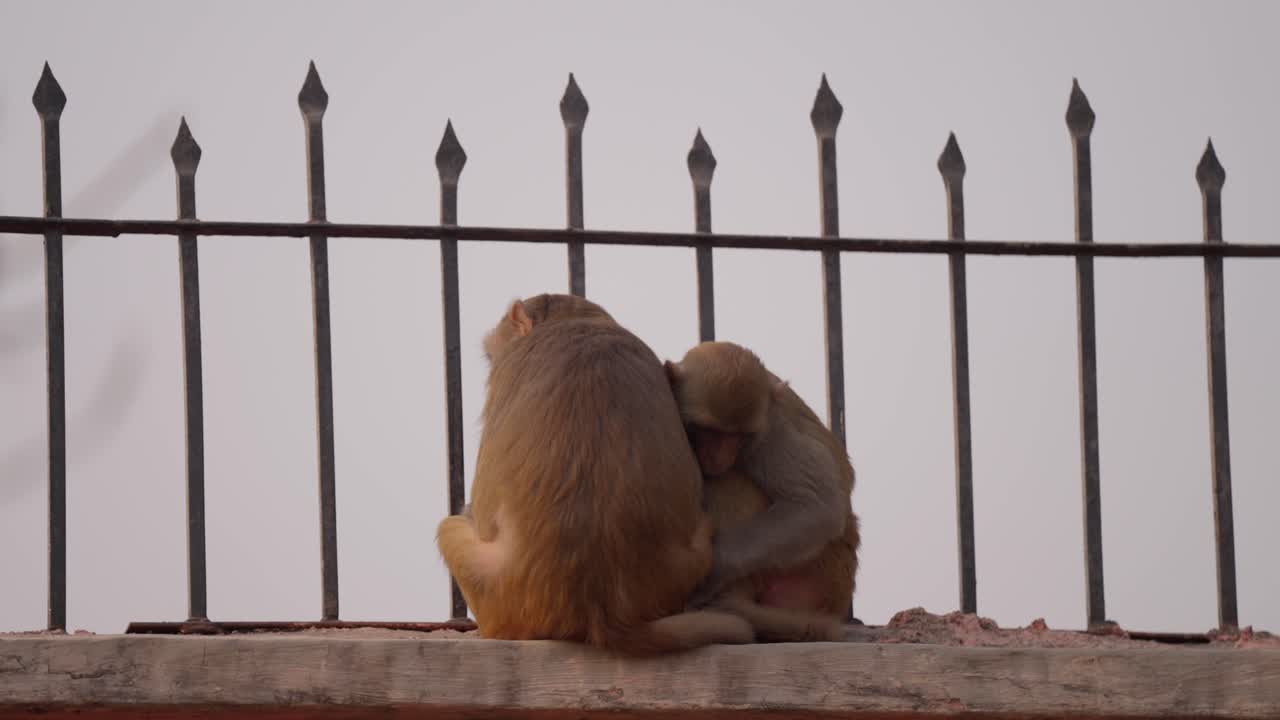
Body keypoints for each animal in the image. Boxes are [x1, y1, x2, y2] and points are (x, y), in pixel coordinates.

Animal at [436, 294, 754, 656]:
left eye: (494, 357)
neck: (577, 320)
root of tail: (602, 609)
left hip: (496, 592)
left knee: (448, 528)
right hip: (694, 558)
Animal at [664, 341, 860, 636]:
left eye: (739, 436)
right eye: (708, 430)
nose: (719, 458)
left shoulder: (772, 431)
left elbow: (817, 506)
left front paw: (711, 571)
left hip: (818, 573)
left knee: (727, 481)